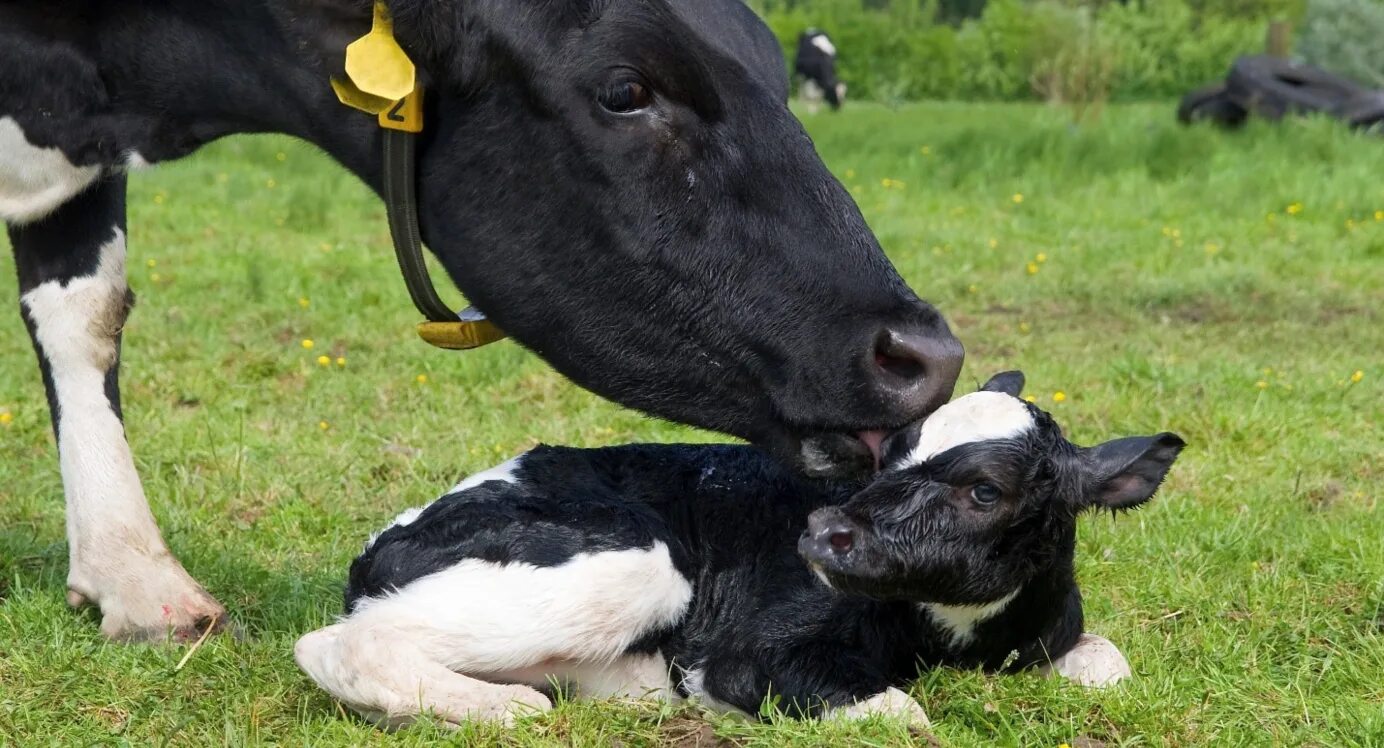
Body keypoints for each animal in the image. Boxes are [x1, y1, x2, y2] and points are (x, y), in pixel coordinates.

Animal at [292, 374, 1179, 731]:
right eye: (894, 450)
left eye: (985, 491)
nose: (824, 531)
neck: (951, 638)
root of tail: (384, 542)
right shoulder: (744, 654)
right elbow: (901, 711)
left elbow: (1109, 663)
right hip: (636, 563)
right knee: (334, 643)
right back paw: (507, 711)